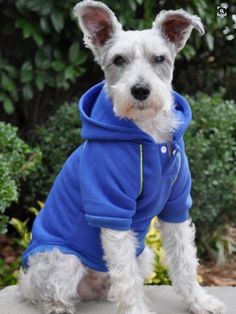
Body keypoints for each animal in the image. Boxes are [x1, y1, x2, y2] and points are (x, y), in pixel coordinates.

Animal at [18, 1, 227, 314]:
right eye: (118, 60)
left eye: (159, 58)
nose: (140, 90)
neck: (148, 133)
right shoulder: (111, 208)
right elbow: (126, 276)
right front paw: (136, 309)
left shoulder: (176, 205)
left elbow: (184, 261)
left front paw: (199, 302)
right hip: (61, 261)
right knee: (48, 293)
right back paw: (56, 305)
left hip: (145, 253)